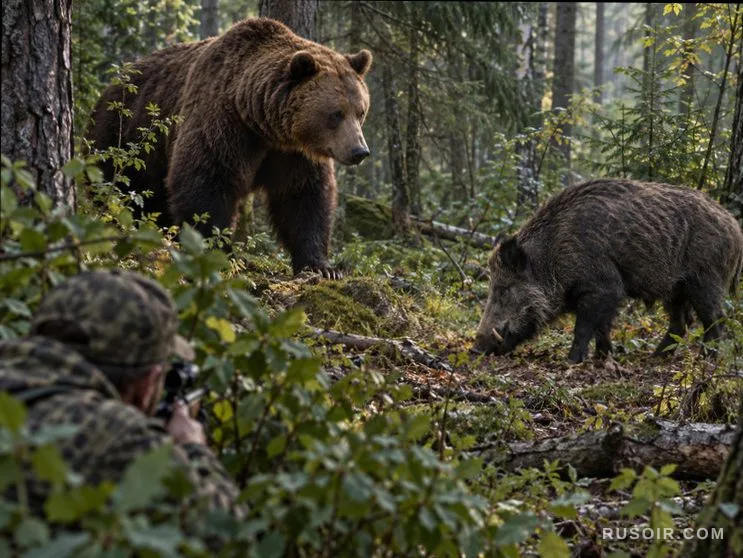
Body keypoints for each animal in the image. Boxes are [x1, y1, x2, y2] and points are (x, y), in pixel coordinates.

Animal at [87, 18, 373, 278]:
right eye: (336, 114)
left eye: (360, 112)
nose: (360, 152)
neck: (261, 123)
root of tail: (111, 84)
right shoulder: (223, 125)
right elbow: (205, 183)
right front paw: (221, 254)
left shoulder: (292, 153)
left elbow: (303, 197)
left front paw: (322, 267)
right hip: (123, 137)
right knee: (119, 189)